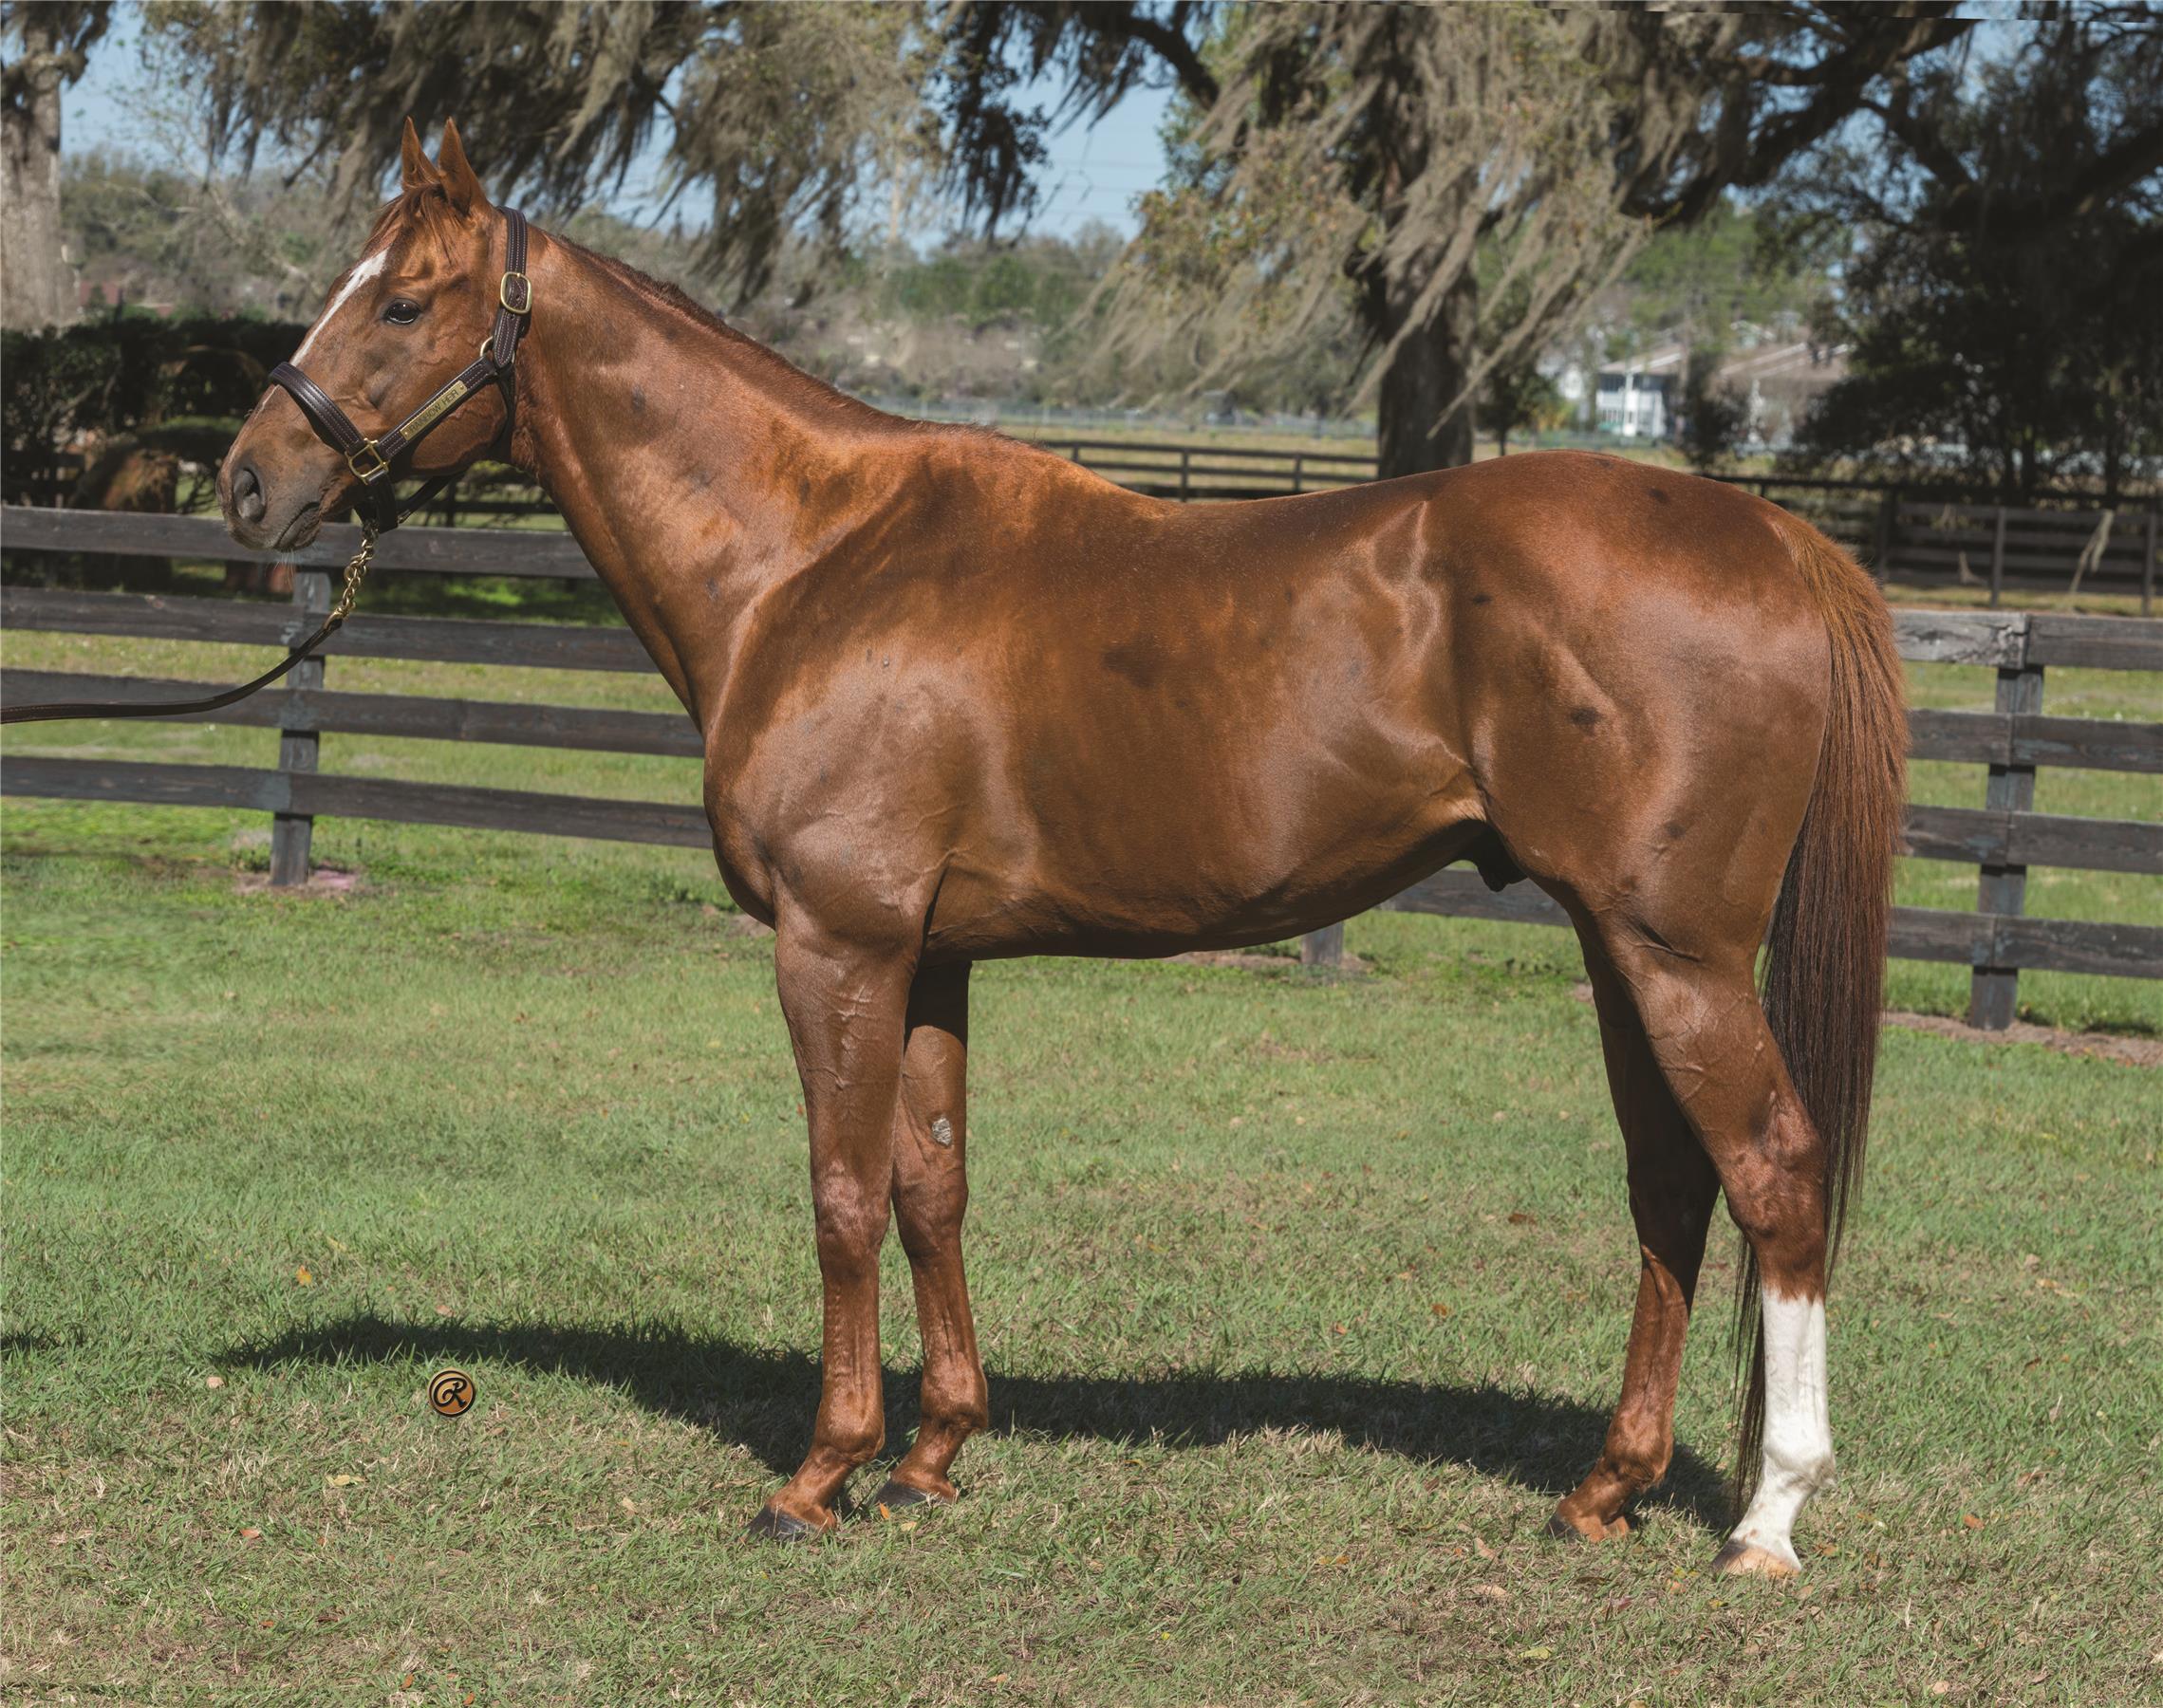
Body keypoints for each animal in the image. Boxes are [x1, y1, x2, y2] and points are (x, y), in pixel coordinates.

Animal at [218, 121, 1906, 1577]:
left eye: (405, 300)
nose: (247, 482)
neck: (808, 562)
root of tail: (1774, 536)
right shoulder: (929, 957)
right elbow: (931, 1183)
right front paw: (931, 1455)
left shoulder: (836, 942)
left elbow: (840, 1190)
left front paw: (819, 1475)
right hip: (1616, 948)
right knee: (1669, 1189)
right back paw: (1604, 1490)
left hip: (1675, 953)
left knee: (1772, 1174)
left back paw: (1766, 1516)